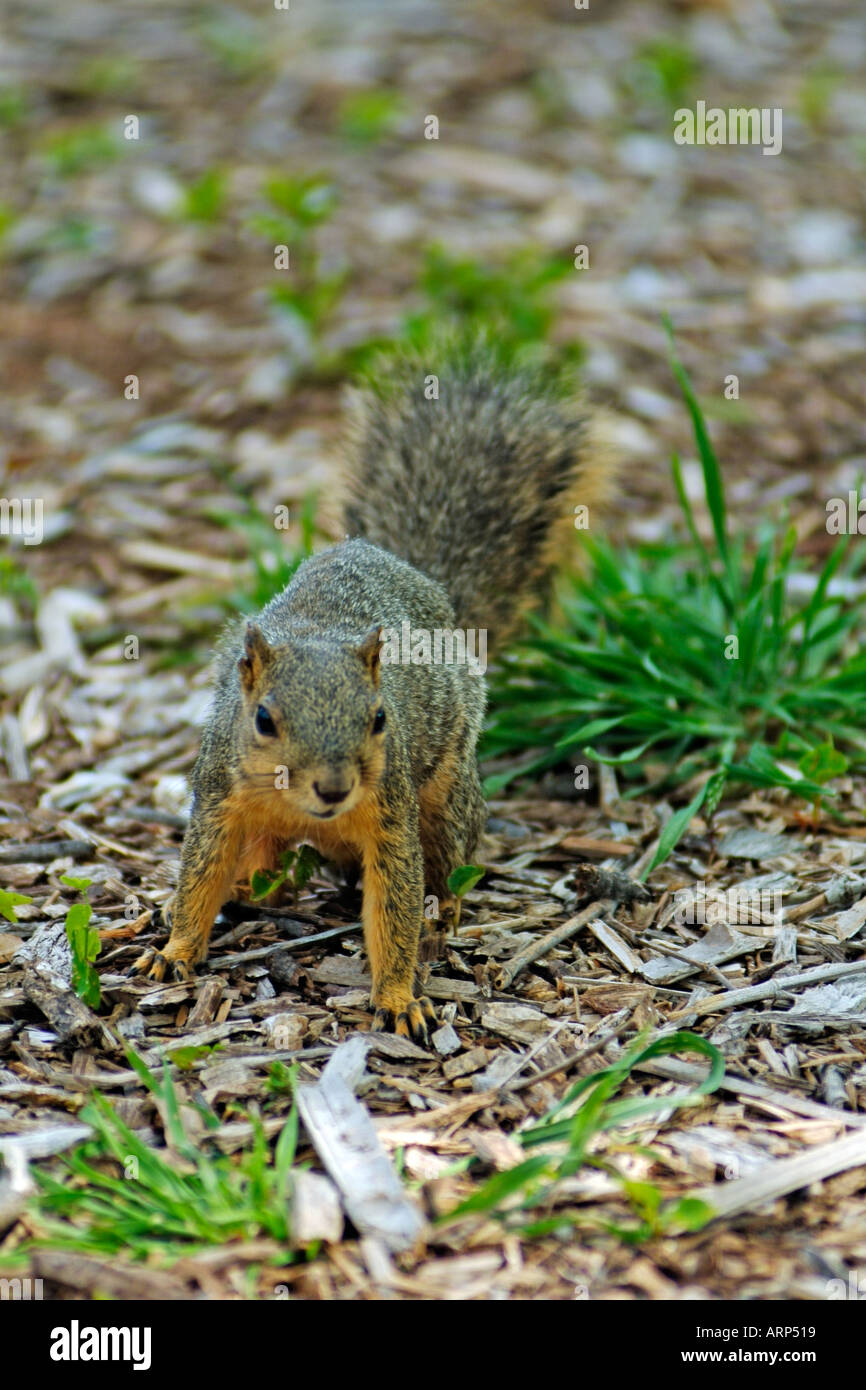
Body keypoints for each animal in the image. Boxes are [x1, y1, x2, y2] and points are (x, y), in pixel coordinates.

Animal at [131, 344, 614, 1042]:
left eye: (381, 718)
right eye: (263, 720)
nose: (334, 787)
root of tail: (418, 577)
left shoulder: (390, 816)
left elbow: (396, 907)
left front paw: (397, 996)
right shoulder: (221, 796)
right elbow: (199, 877)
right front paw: (173, 952)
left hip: (444, 797)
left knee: (450, 858)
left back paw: (444, 917)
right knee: (264, 863)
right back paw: (238, 890)